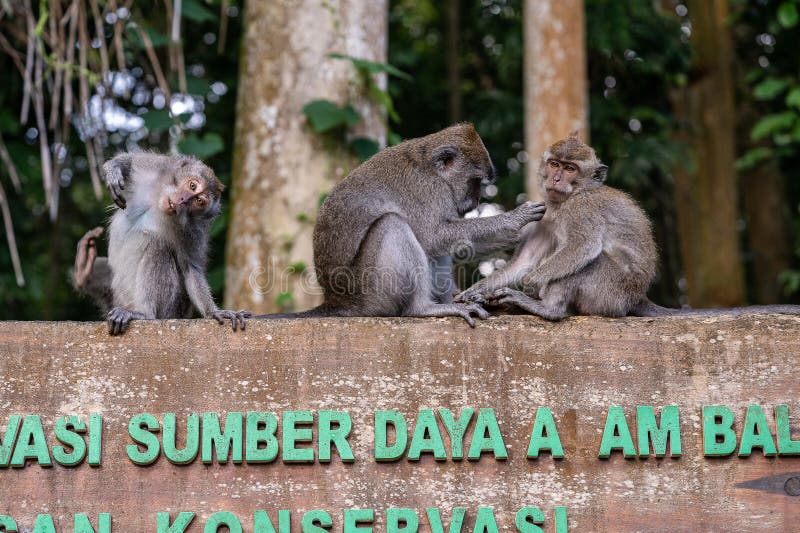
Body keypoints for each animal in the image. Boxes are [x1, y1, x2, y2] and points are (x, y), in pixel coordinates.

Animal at [73, 152, 251, 335]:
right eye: (192, 185)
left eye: (199, 201)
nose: (183, 199)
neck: (159, 207)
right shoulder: (155, 169)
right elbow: (132, 160)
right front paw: (114, 170)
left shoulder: (193, 231)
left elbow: (189, 267)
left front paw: (213, 311)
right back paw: (84, 271)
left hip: (170, 310)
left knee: (158, 248)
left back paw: (143, 314)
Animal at [260, 123, 546, 326]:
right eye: (475, 182)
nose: (476, 201)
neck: (430, 166)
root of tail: (337, 302)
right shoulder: (429, 190)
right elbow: (433, 236)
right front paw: (516, 220)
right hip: (372, 293)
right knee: (392, 224)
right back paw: (424, 308)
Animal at [455, 133, 800, 319]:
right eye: (554, 164)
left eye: (570, 169)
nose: (556, 178)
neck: (568, 200)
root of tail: (636, 298)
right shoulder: (545, 215)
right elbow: (525, 260)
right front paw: (473, 292)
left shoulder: (582, 210)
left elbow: (582, 247)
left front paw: (530, 283)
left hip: (611, 292)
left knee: (588, 264)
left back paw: (548, 308)